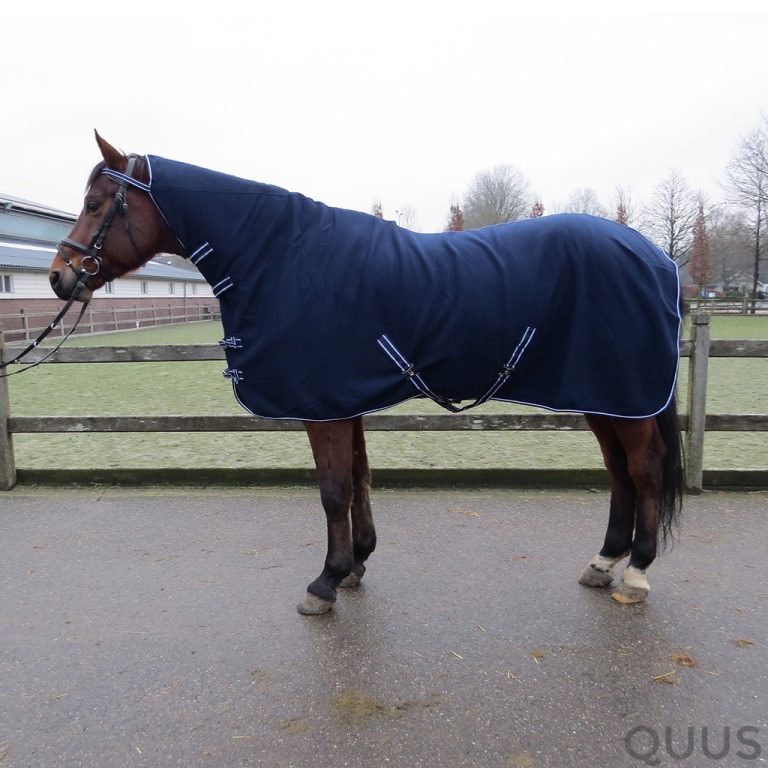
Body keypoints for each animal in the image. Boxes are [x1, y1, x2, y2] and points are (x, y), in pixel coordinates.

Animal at [49, 132, 684, 615]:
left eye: (97, 204)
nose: (60, 276)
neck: (283, 256)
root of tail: (655, 256)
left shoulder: (323, 407)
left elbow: (333, 490)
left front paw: (325, 581)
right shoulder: (342, 399)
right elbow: (358, 478)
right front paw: (356, 563)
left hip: (625, 398)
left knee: (645, 471)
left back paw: (636, 573)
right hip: (604, 398)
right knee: (620, 472)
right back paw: (604, 561)